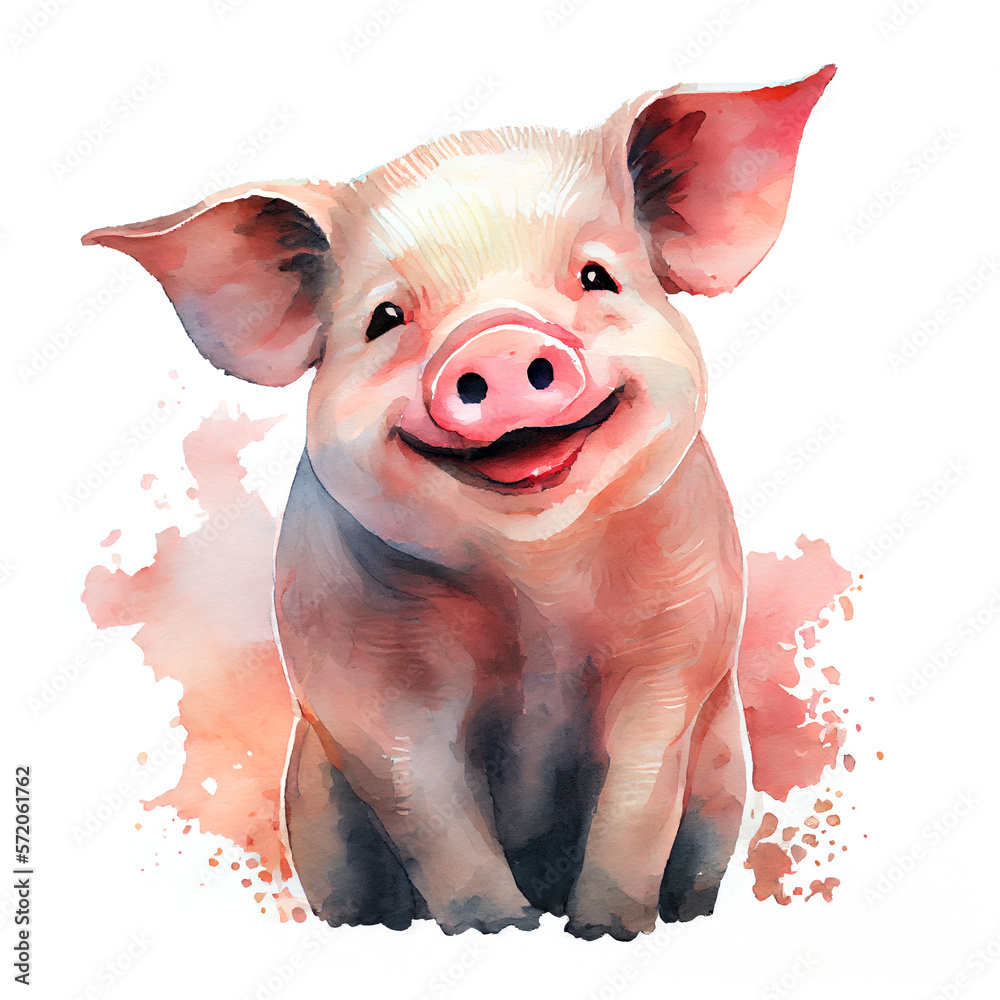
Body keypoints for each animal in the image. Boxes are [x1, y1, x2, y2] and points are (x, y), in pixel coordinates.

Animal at [83, 65, 834, 940]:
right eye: (385, 319)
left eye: (596, 278)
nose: (500, 340)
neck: (536, 587)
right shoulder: (355, 676)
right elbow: (431, 809)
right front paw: (499, 931)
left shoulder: (683, 643)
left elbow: (638, 798)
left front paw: (606, 931)